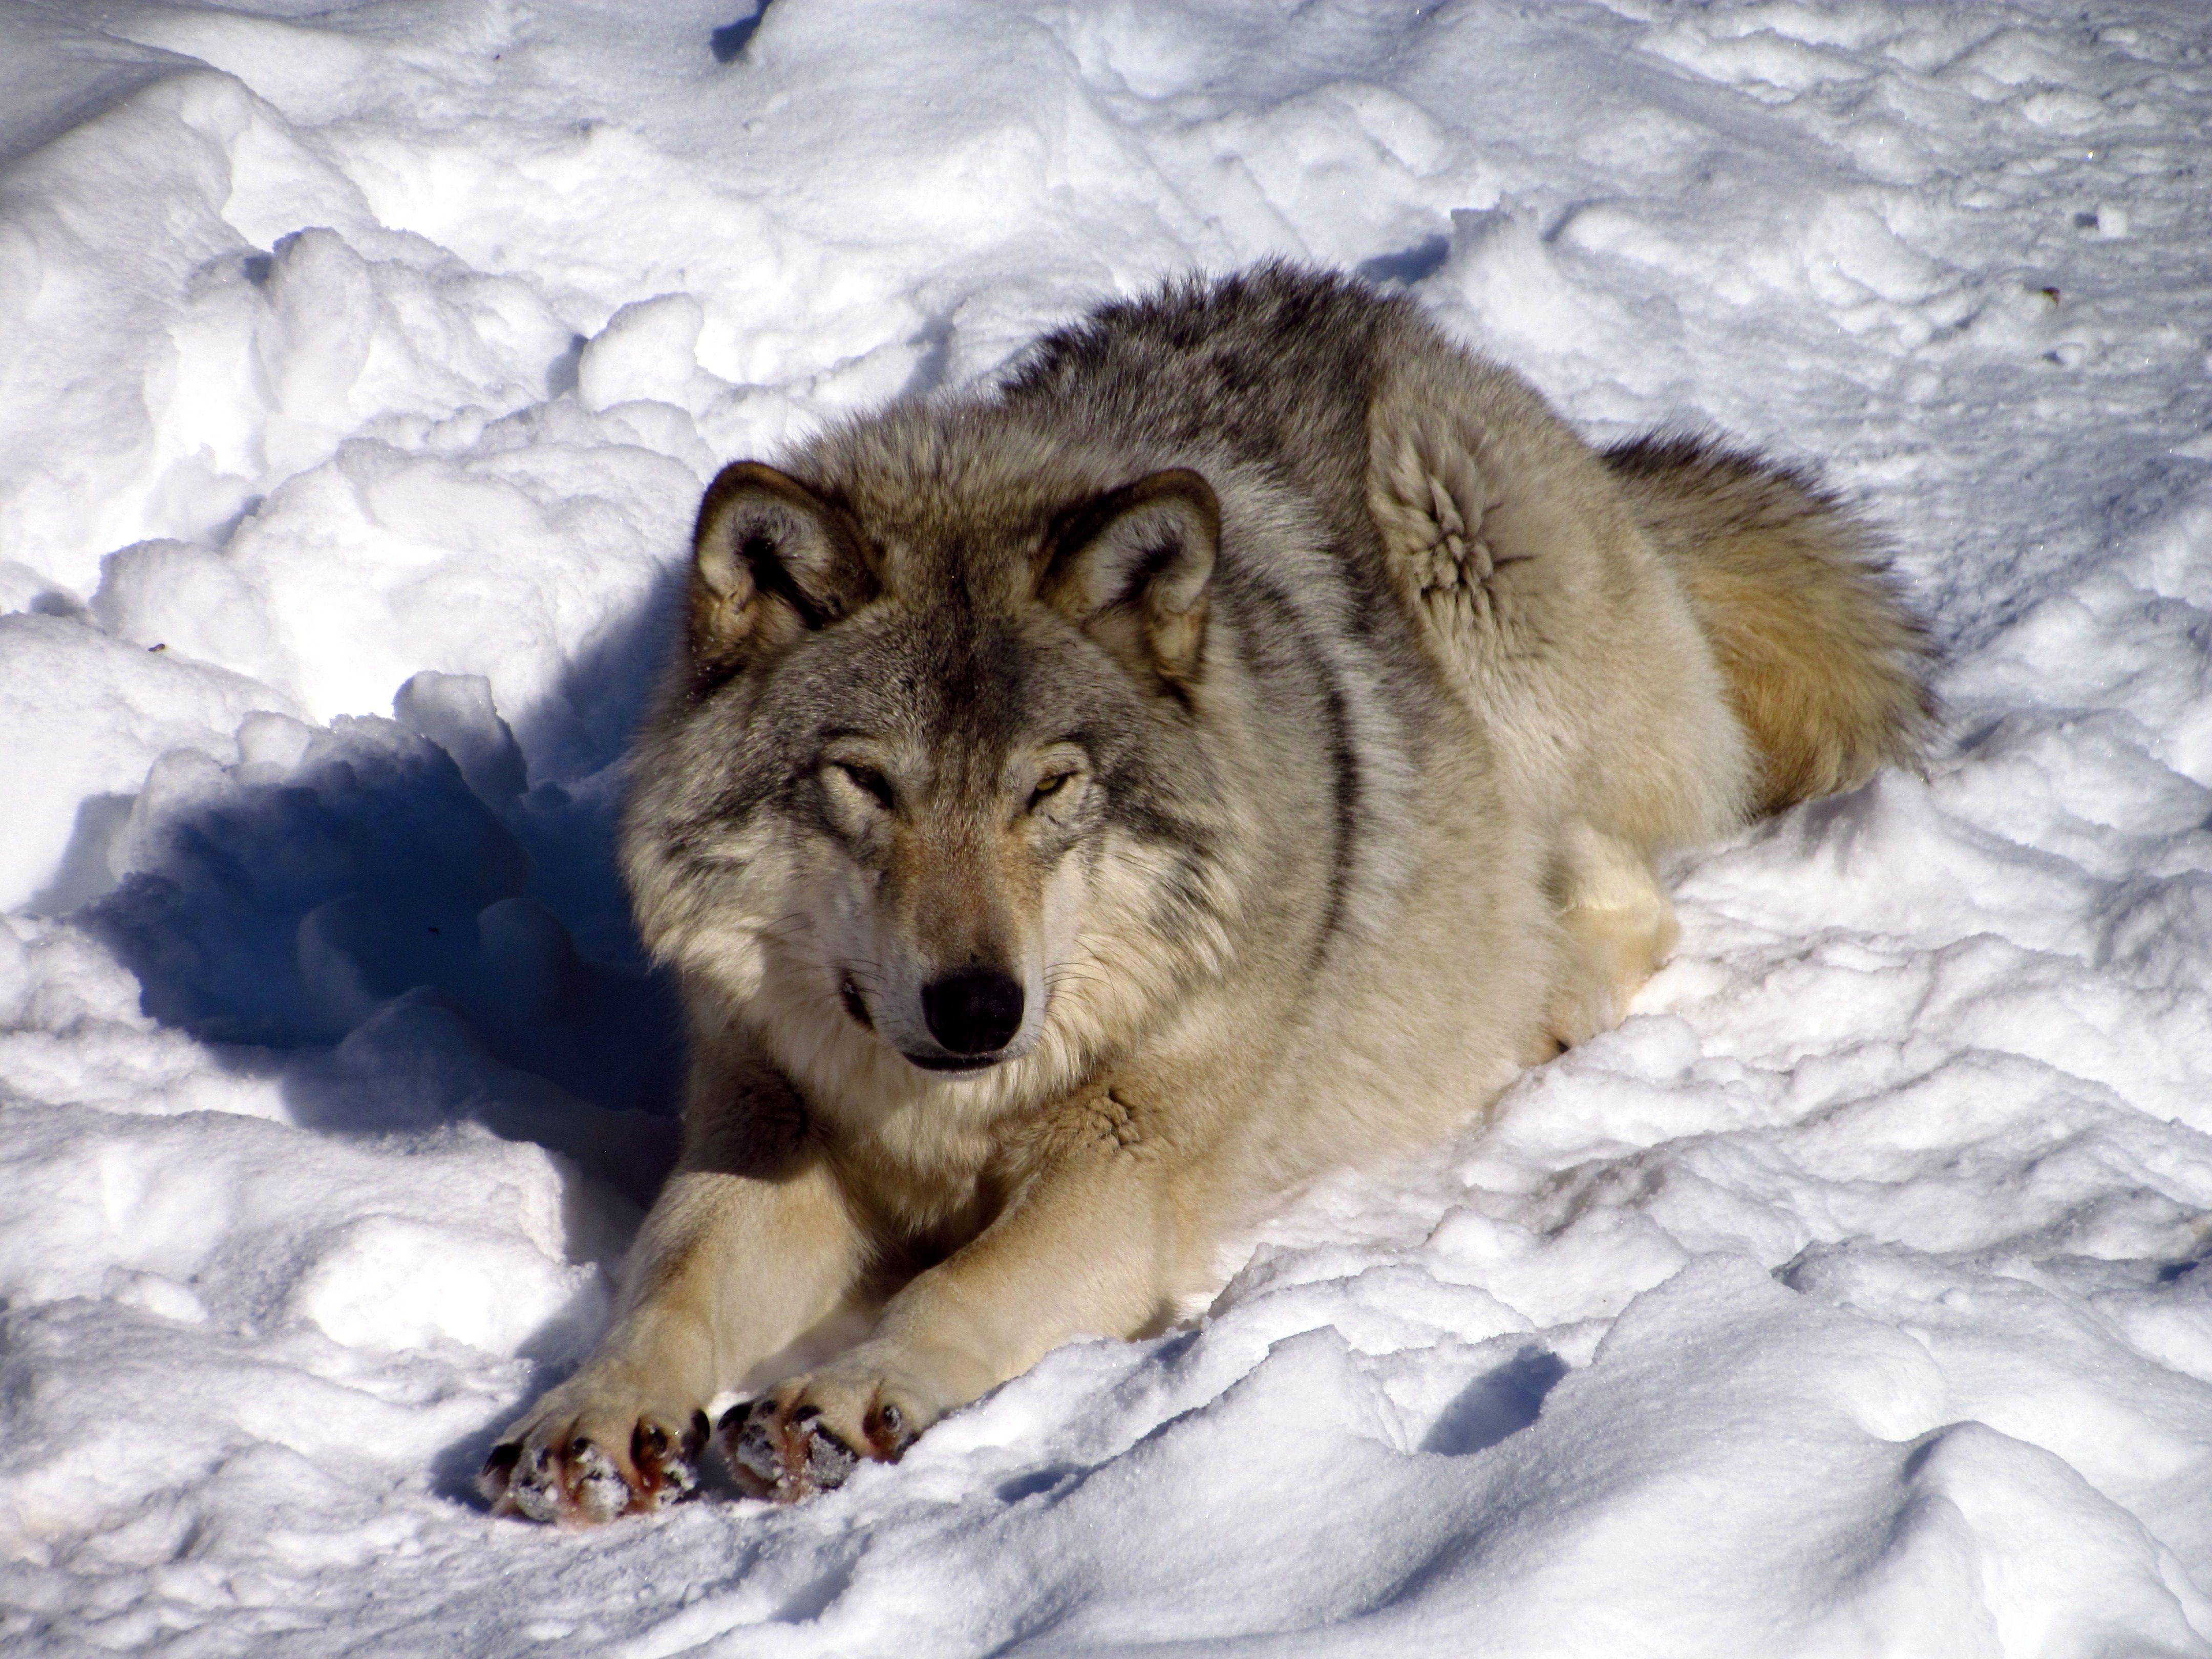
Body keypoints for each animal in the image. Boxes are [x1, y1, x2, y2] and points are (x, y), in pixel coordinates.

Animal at [480, 263, 1932, 1521]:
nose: (978, 1008)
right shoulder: (765, 1119)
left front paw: (845, 1391)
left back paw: (1519, 1010)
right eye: (868, 783)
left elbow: (962, 1284)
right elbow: (670, 1282)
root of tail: (1386, 316)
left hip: (1474, 573)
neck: (946, 1115)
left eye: (1048, 787)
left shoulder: (1128, 1174)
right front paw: (591, 1414)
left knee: (1625, 901)